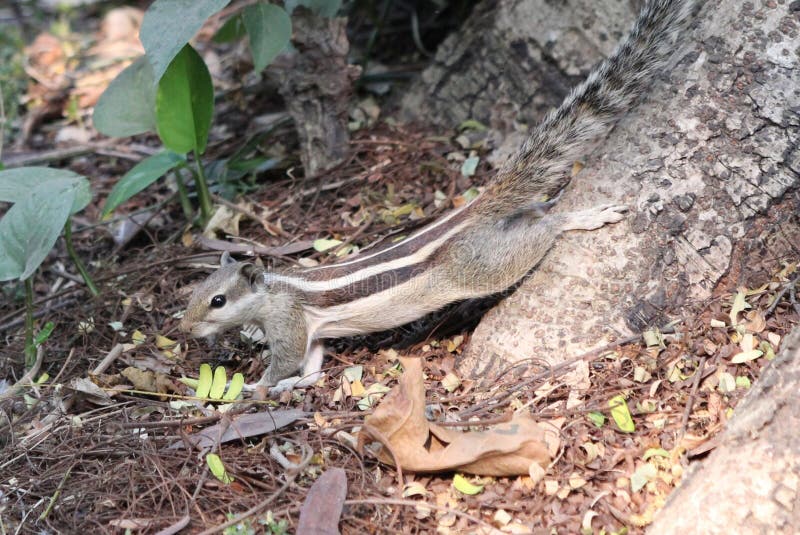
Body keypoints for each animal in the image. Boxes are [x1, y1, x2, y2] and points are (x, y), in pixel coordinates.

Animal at [179, 0, 697, 394]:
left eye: (218, 301)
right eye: (196, 291)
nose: (184, 327)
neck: (277, 290)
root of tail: (471, 213)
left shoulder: (289, 325)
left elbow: (284, 363)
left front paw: (254, 387)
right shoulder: (312, 334)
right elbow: (311, 366)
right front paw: (296, 386)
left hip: (486, 267)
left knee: (544, 230)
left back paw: (578, 218)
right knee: (535, 211)